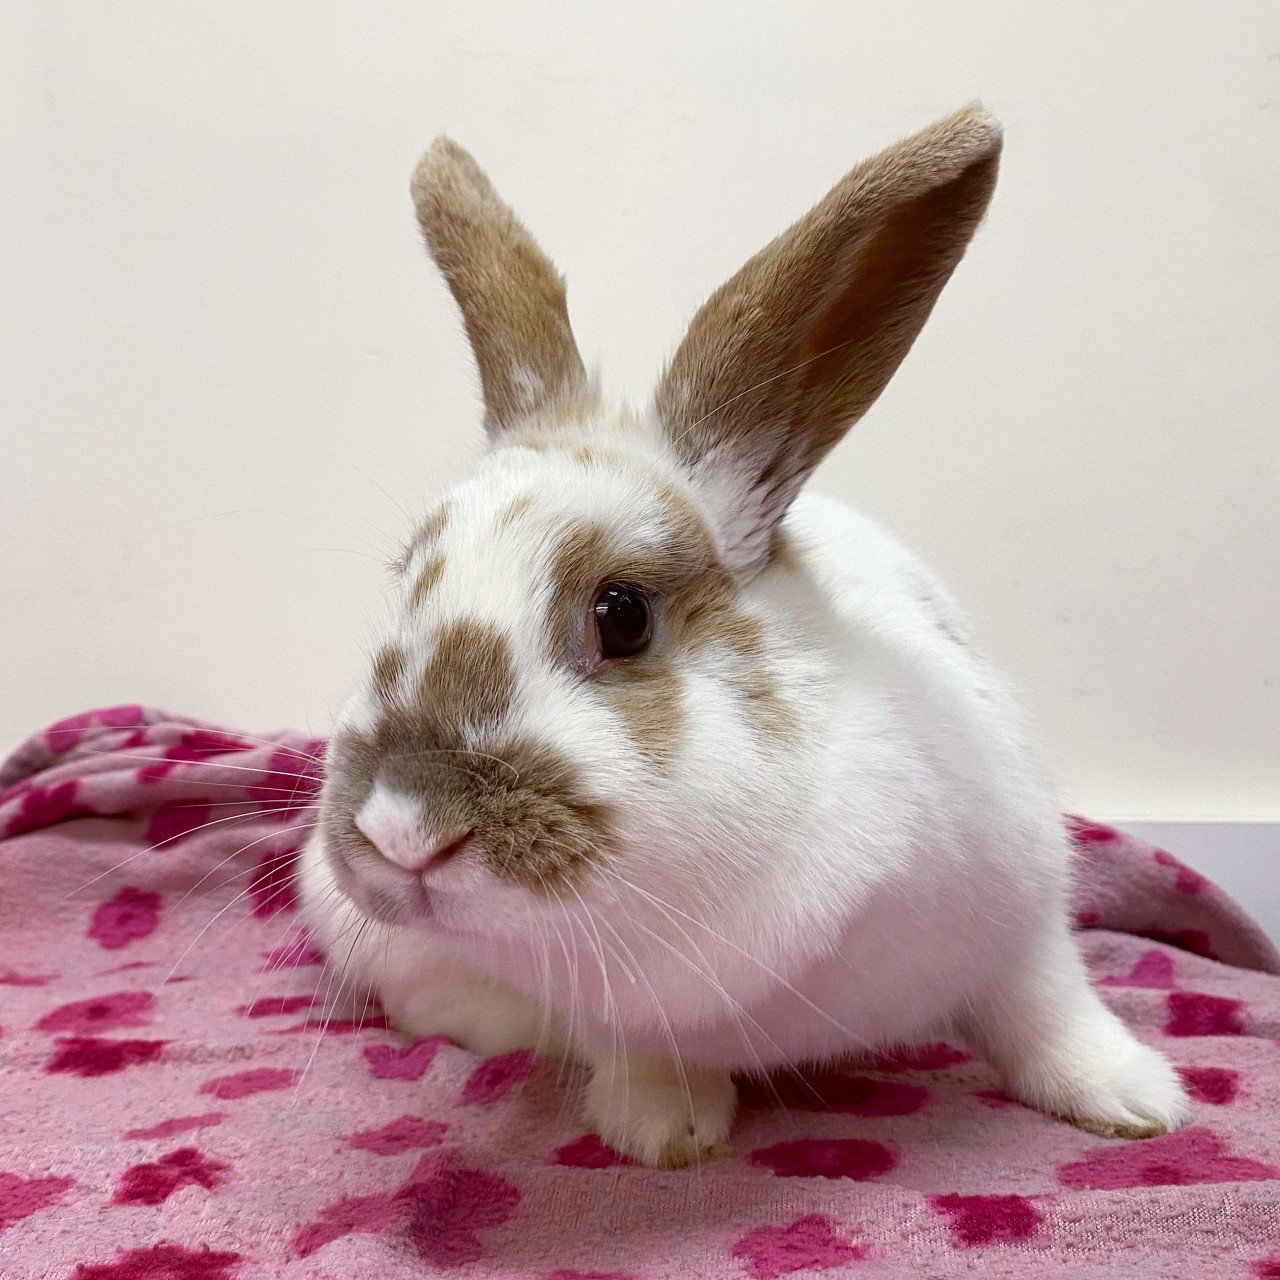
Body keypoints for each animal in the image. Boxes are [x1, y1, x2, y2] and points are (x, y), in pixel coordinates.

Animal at [297, 103, 1189, 1169]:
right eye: (402, 586)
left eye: (622, 615)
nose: (401, 830)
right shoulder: (614, 1006)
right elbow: (640, 1052)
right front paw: (662, 1131)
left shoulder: (1021, 908)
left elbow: (1047, 1007)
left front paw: (1137, 1102)